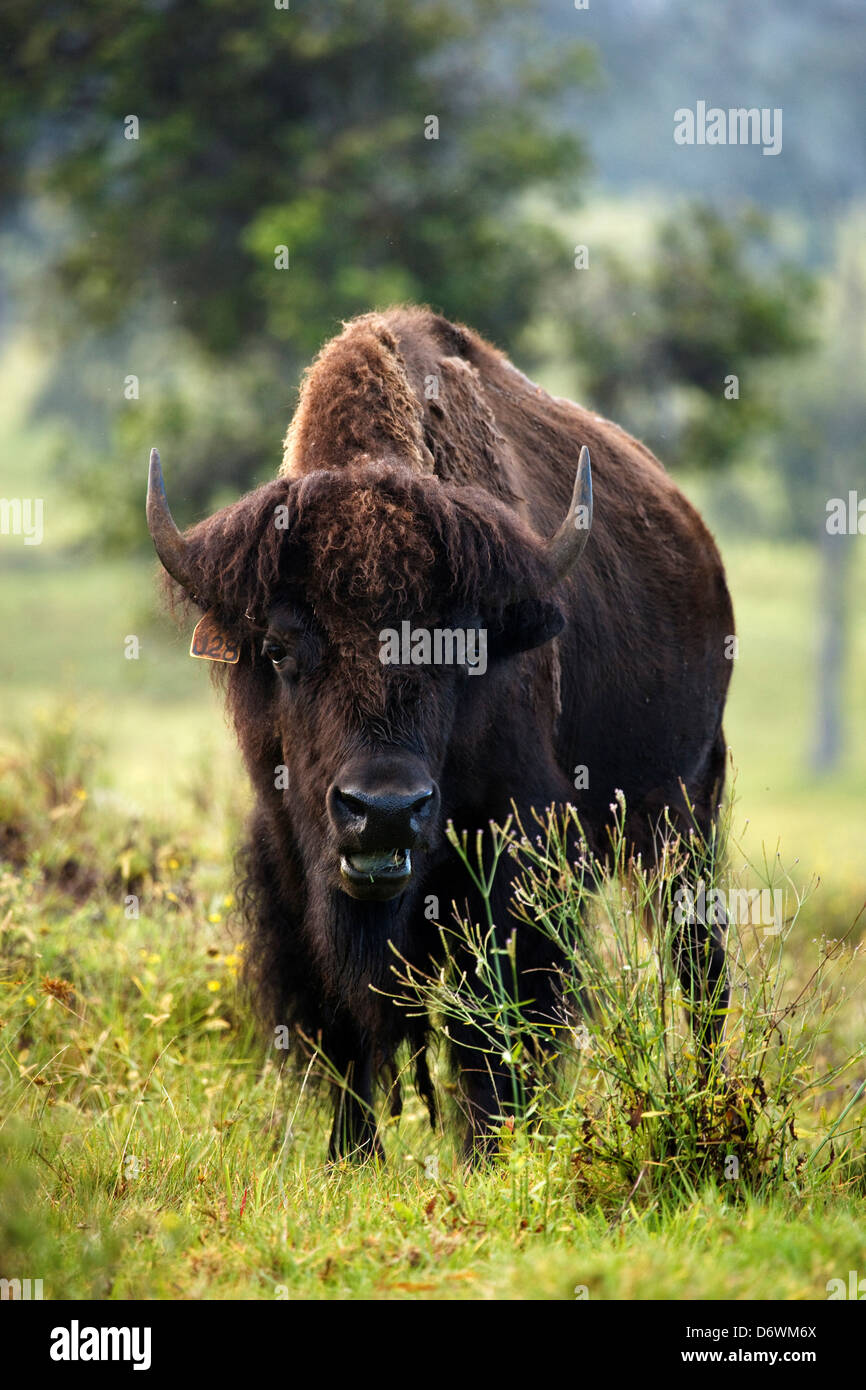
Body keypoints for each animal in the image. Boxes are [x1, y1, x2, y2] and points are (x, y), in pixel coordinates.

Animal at [146, 307, 734, 1160]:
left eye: (461, 649)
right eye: (282, 648)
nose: (384, 810)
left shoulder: (515, 854)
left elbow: (496, 1029)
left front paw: (492, 1152)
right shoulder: (293, 864)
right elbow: (343, 1028)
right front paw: (351, 1157)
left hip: (685, 815)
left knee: (699, 969)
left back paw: (710, 1094)